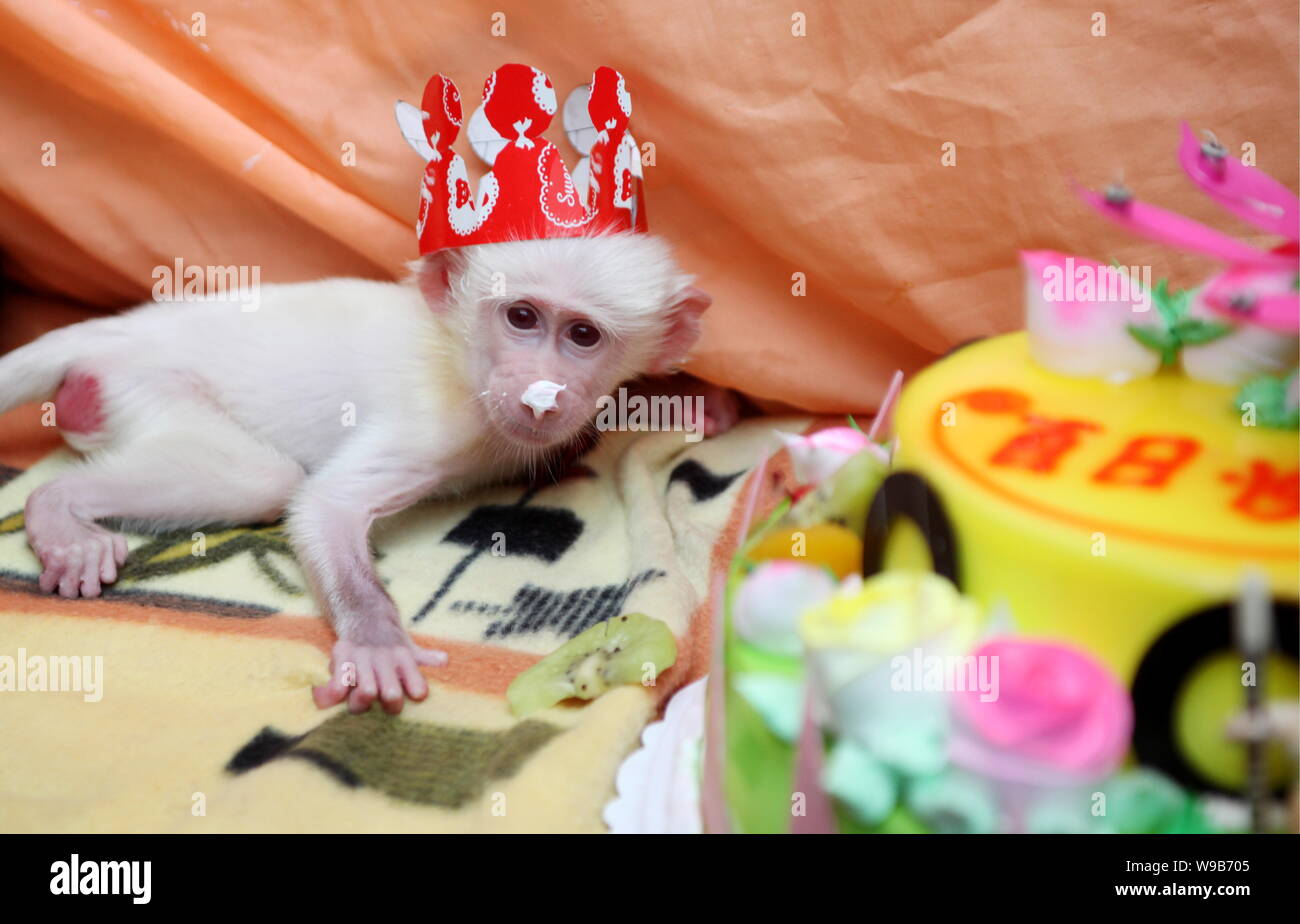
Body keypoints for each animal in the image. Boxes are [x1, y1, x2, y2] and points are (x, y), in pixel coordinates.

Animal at [0, 232, 740, 714]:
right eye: (522, 317)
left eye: (582, 335)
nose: (543, 394)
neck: (460, 351)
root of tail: (121, 329)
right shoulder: (447, 417)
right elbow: (324, 504)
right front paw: (378, 642)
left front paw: (698, 403)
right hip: (143, 379)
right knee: (262, 477)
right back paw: (56, 508)